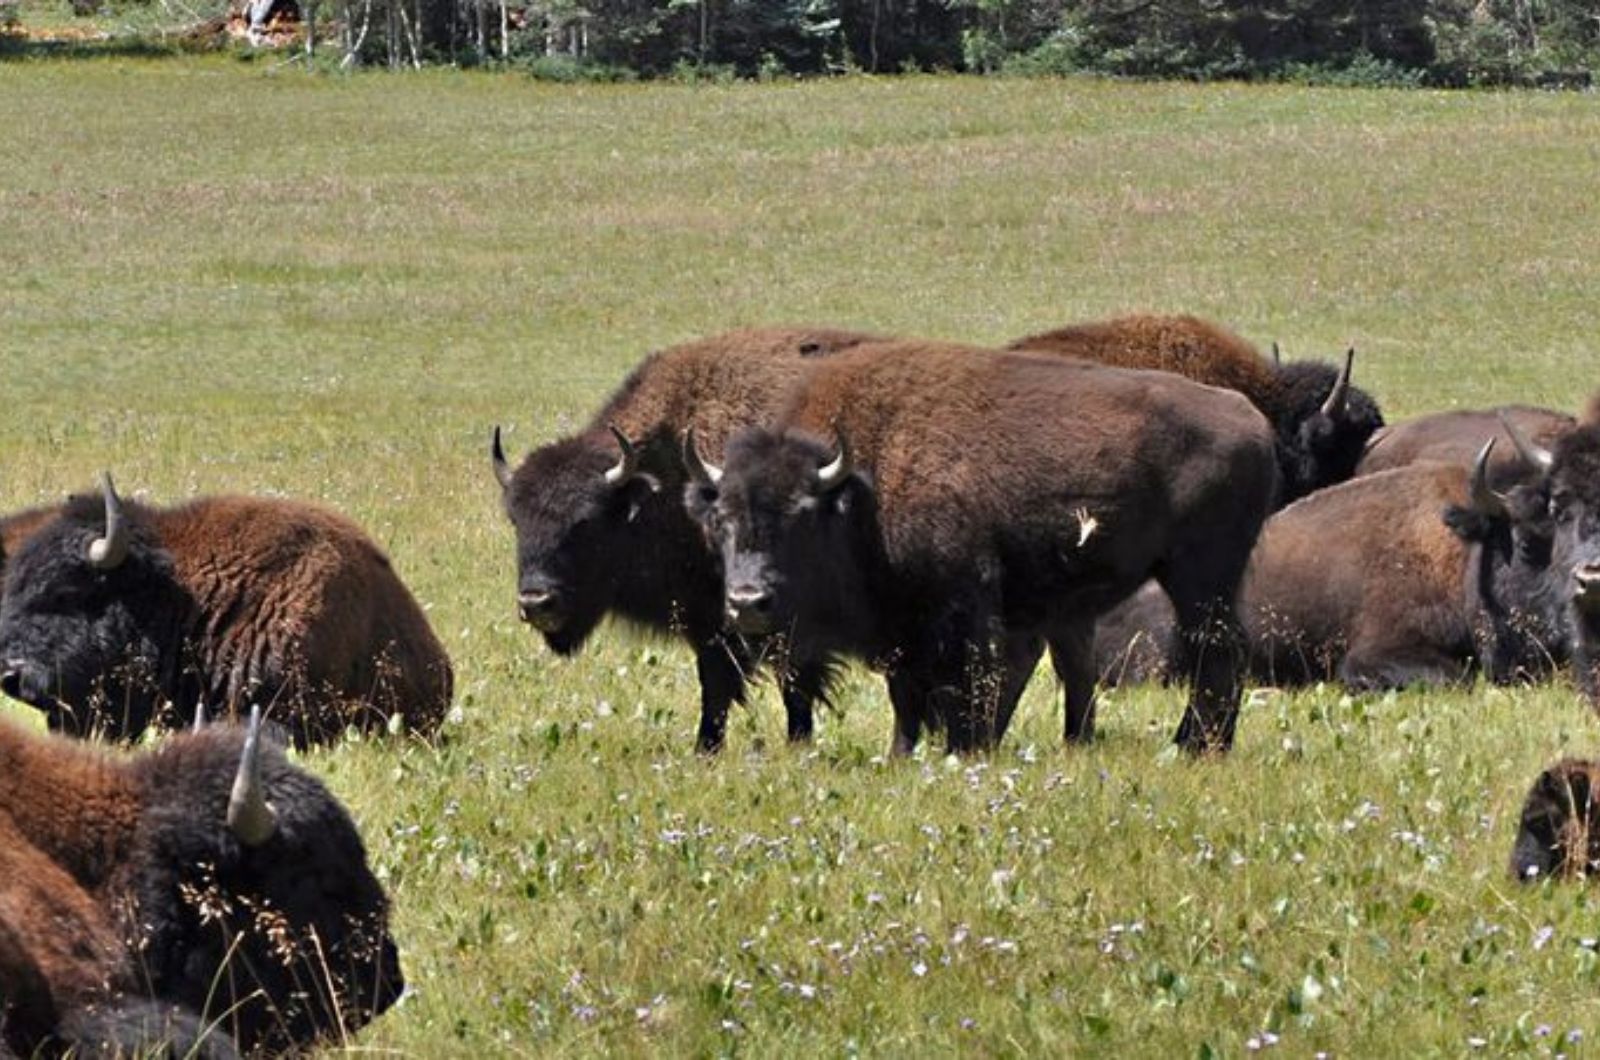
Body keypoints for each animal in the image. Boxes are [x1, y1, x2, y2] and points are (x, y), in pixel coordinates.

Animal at [686, 340, 1278, 755]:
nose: (747, 602)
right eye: (720, 519)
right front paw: (902, 753)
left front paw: (961, 748)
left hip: (1200, 574)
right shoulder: (902, 625)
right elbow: (905, 692)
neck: (859, 487)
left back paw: (1192, 747)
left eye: (800, 516)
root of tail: (1250, 418)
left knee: (1217, 652)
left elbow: (963, 682)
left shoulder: (961, 605)